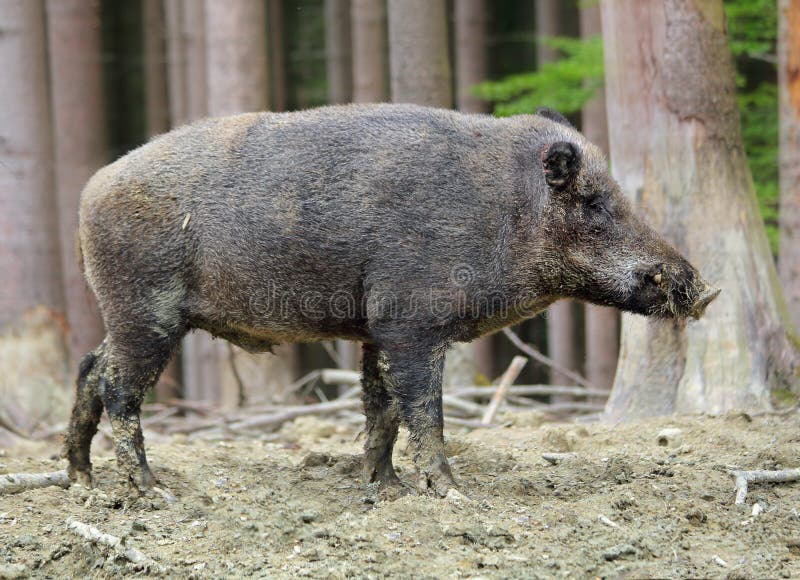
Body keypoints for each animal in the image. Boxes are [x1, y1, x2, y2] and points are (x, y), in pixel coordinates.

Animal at [63, 104, 719, 496]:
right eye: (593, 203)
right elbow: (423, 410)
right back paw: (151, 492)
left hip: (127, 316)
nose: (703, 288)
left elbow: (381, 411)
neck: (506, 212)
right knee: (118, 389)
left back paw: (81, 482)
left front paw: (388, 490)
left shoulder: (374, 332)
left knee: (89, 369)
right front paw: (449, 492)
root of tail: (89, 192)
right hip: (146, 311)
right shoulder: (410, 322)